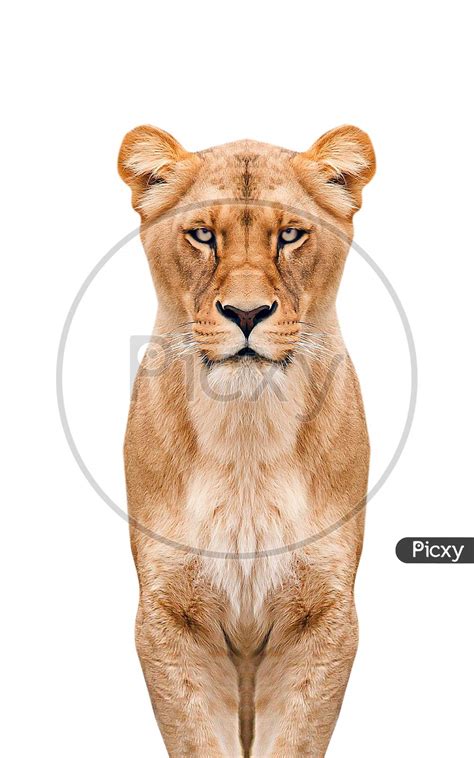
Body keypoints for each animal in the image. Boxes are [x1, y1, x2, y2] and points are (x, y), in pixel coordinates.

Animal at [118, 123, 375, 757]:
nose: (246, 312)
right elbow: (198, 739)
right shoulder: (169, 615)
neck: (246, 435)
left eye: (289, 235)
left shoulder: (324, 614)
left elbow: (295, 739)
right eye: (203, 235)